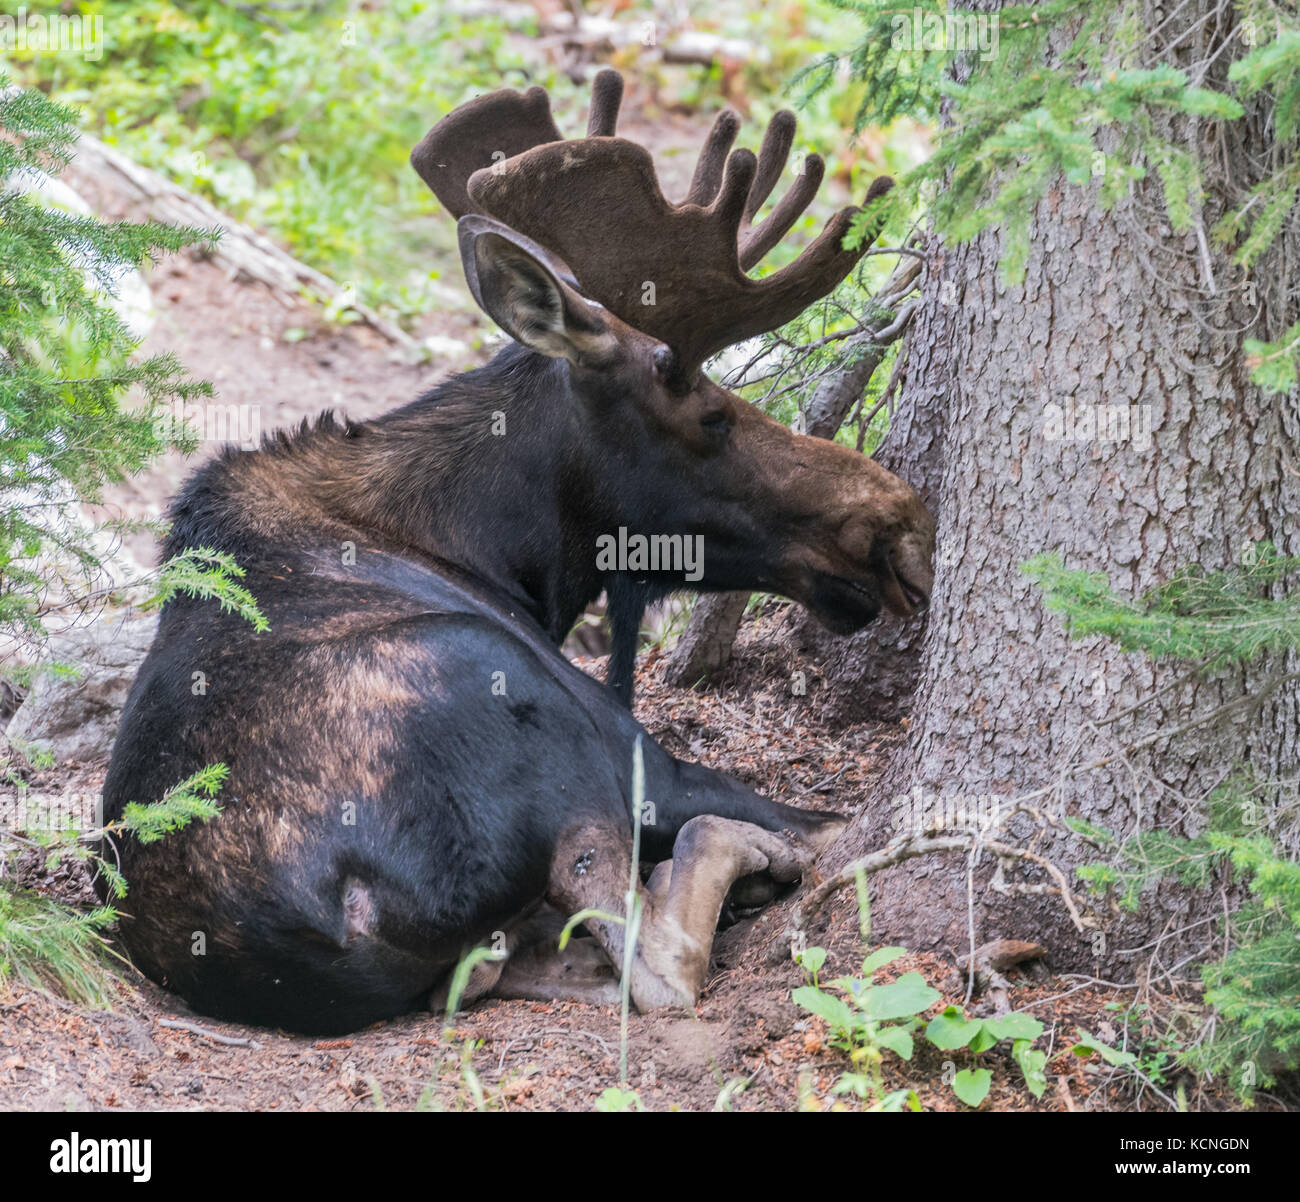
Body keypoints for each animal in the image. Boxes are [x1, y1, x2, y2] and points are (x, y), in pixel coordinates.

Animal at [101, 70, 935, 1034]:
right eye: (712, 414)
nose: (896, 521)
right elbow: (819, 822)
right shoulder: (630, 740)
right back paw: (752, 858)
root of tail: (332, 918)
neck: (505, 557)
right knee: (656, 954)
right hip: (544, 728)